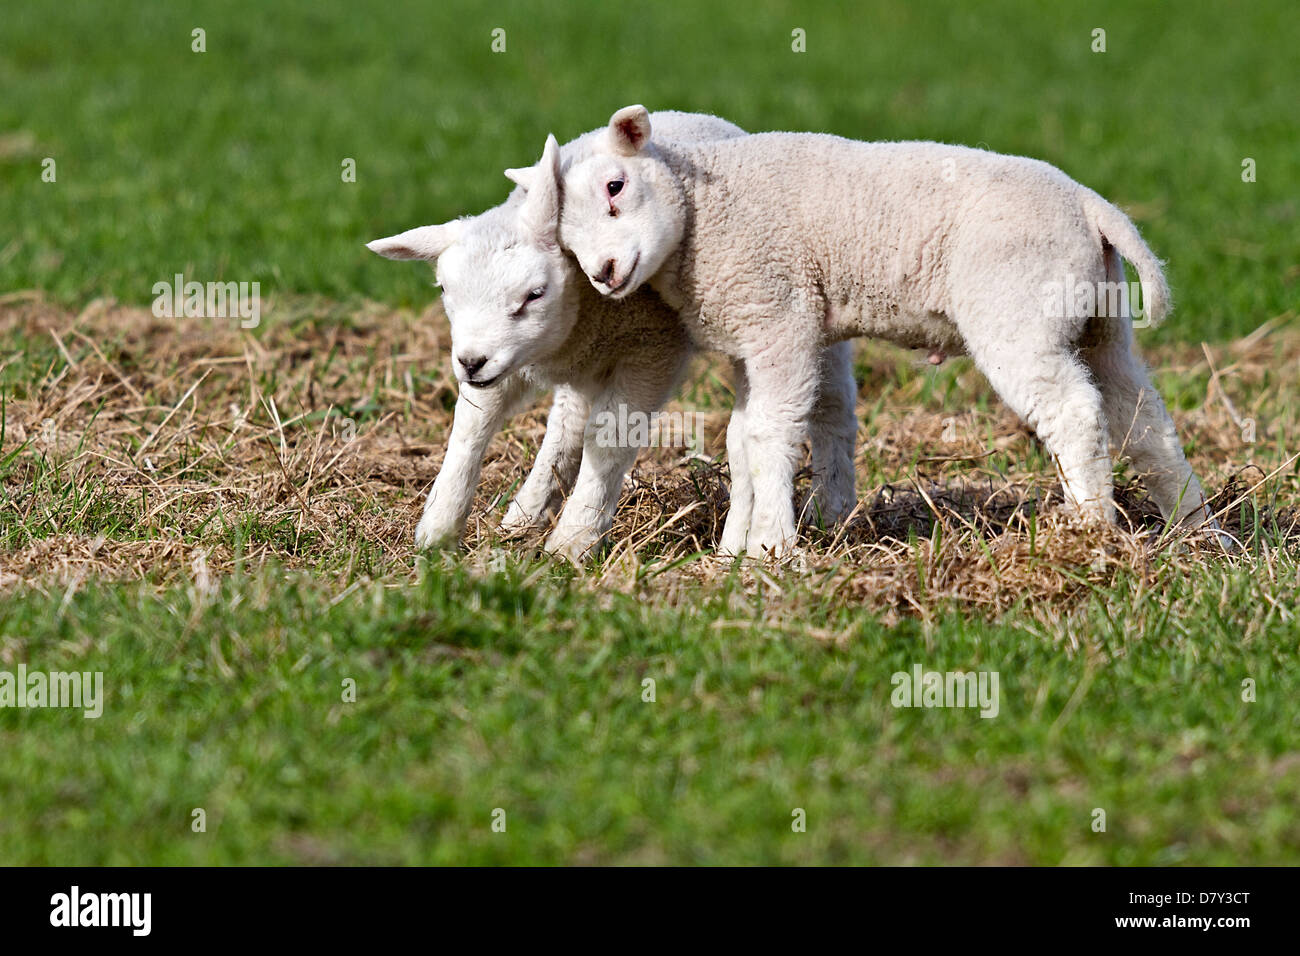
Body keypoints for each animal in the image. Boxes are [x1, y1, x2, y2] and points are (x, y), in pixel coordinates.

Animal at [367, 112, 859, 561]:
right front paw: (437, 532)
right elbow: (470, 429)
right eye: (443, 290)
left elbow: (609, 438)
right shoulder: (500, 360)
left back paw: (832, 511)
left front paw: (571, 542)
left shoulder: (651, 349)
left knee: (833, 405)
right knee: (565, 424)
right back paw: (525, 515)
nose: (470, 362)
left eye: (534, 294)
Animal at [557, 105, 1222, 557]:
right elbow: (740, 441)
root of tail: (1089, 204)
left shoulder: (781, 321)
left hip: (1019, 314)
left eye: (616, 187)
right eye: (564, 236)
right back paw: (1193, 529)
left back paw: (1091, 531)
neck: (701, 210)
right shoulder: (751, 336)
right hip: (1101, 324)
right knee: (1143, 418)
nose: (604, 273)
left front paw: (770, 549)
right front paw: (733, 552)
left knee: (1076, 412)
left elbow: (769, 436)